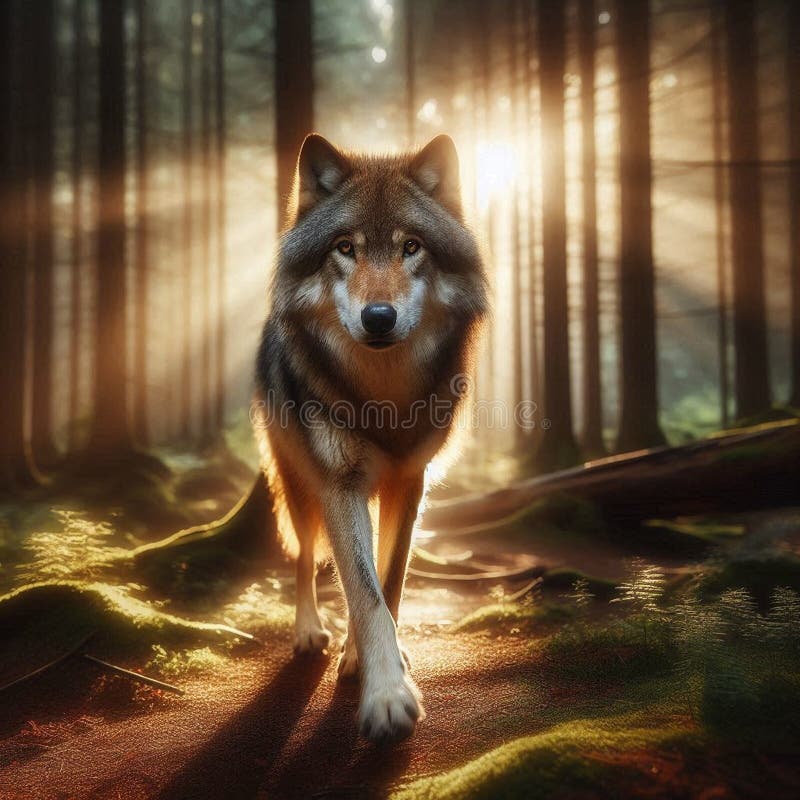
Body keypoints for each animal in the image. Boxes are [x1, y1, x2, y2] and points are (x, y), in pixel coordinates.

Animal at [254, 133, 487, 741]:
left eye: (411, 247)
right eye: (345, 248)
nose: (378, 317)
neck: (383, 397)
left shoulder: (410, 483)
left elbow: (391, 581)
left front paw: (370, 661)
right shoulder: (341, 484)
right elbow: (363, 590)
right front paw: (386, 697)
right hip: (298, 484)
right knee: (303, 556)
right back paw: (309, 632)